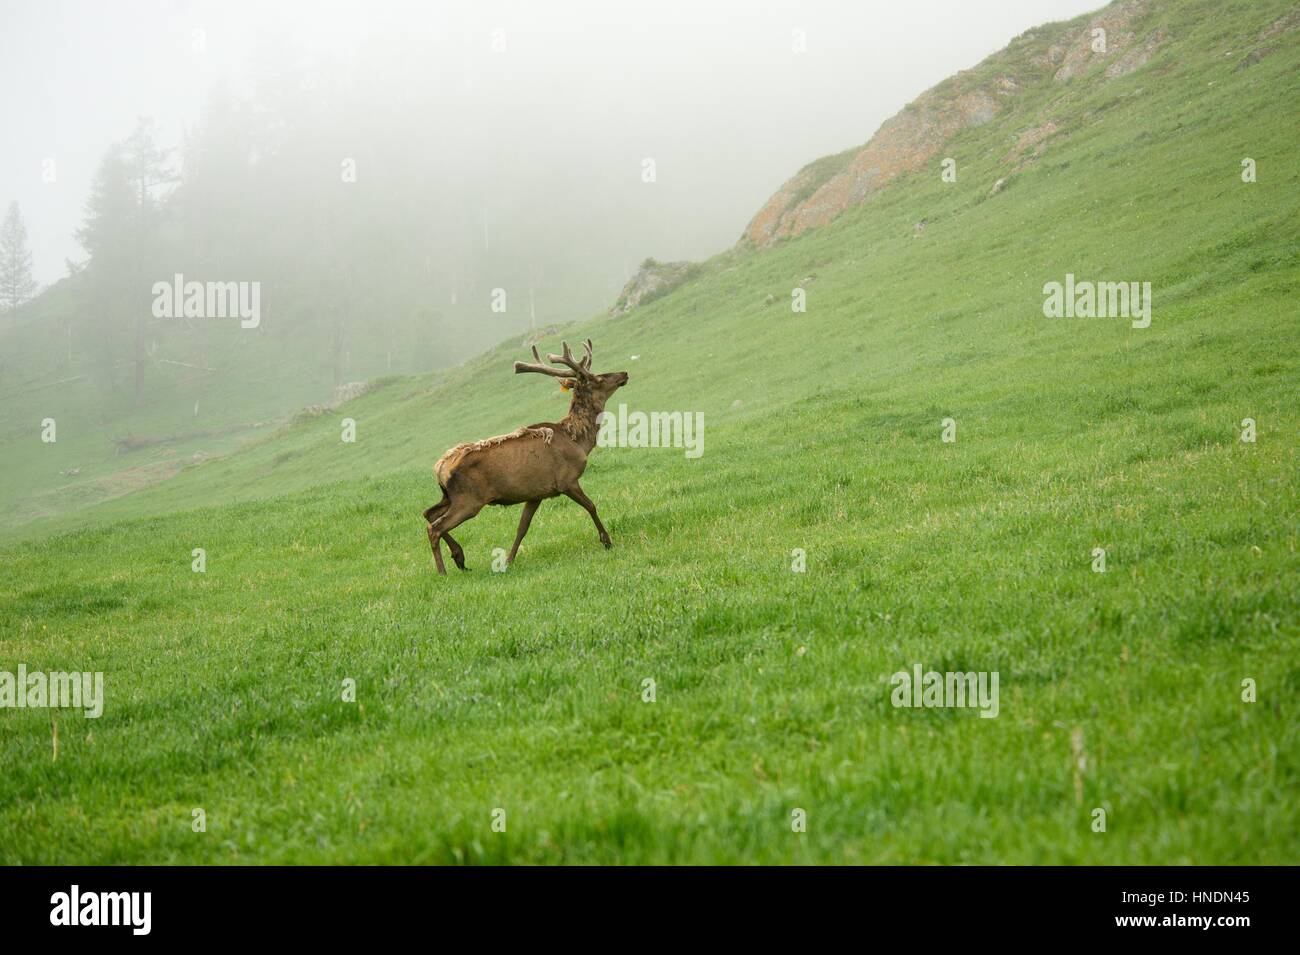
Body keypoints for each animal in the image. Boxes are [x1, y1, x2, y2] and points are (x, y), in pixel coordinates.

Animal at [422, 339, 629, 574]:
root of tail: (440, 467)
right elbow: (591, 506)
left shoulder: (536, 492)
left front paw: (509, 560)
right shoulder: (566, 480)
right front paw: (607, 541)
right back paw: (443, 570)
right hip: (469, 499)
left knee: (428, 514)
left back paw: (460, 558)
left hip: (450, 496)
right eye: (598, 378)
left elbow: (522, 526)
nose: (624, 373)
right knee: (435, 527)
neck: (578, 441)